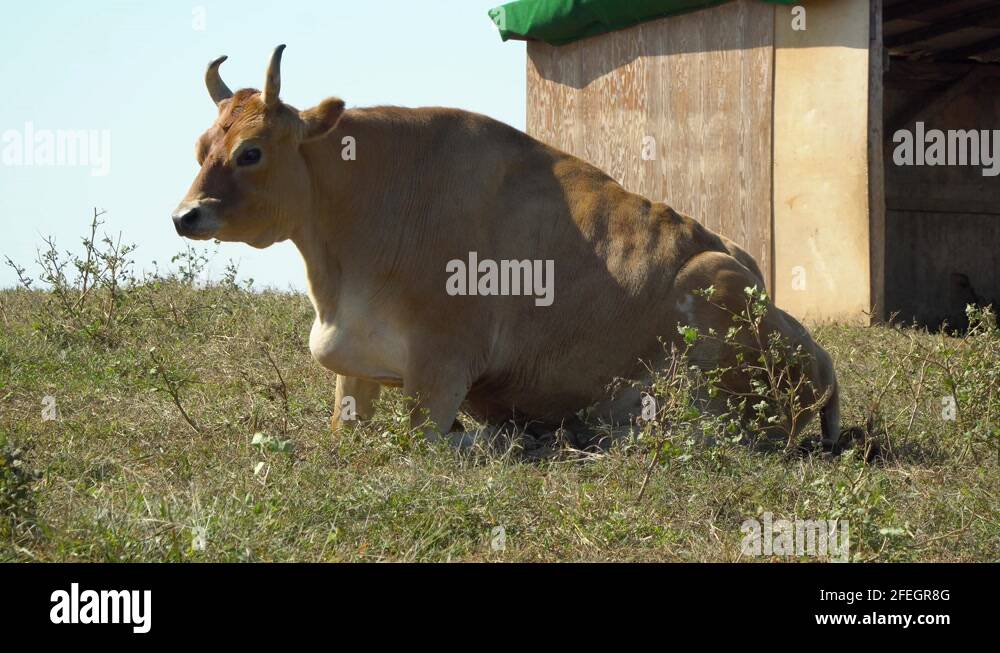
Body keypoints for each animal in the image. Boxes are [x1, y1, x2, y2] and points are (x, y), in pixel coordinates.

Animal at [172, 46, 841, 451]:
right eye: (202, 145)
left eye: (251, 151)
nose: (184, 216)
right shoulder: (356, 369)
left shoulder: (440, 370)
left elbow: (429, 442)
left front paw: (498, 439)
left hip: (714, 316)